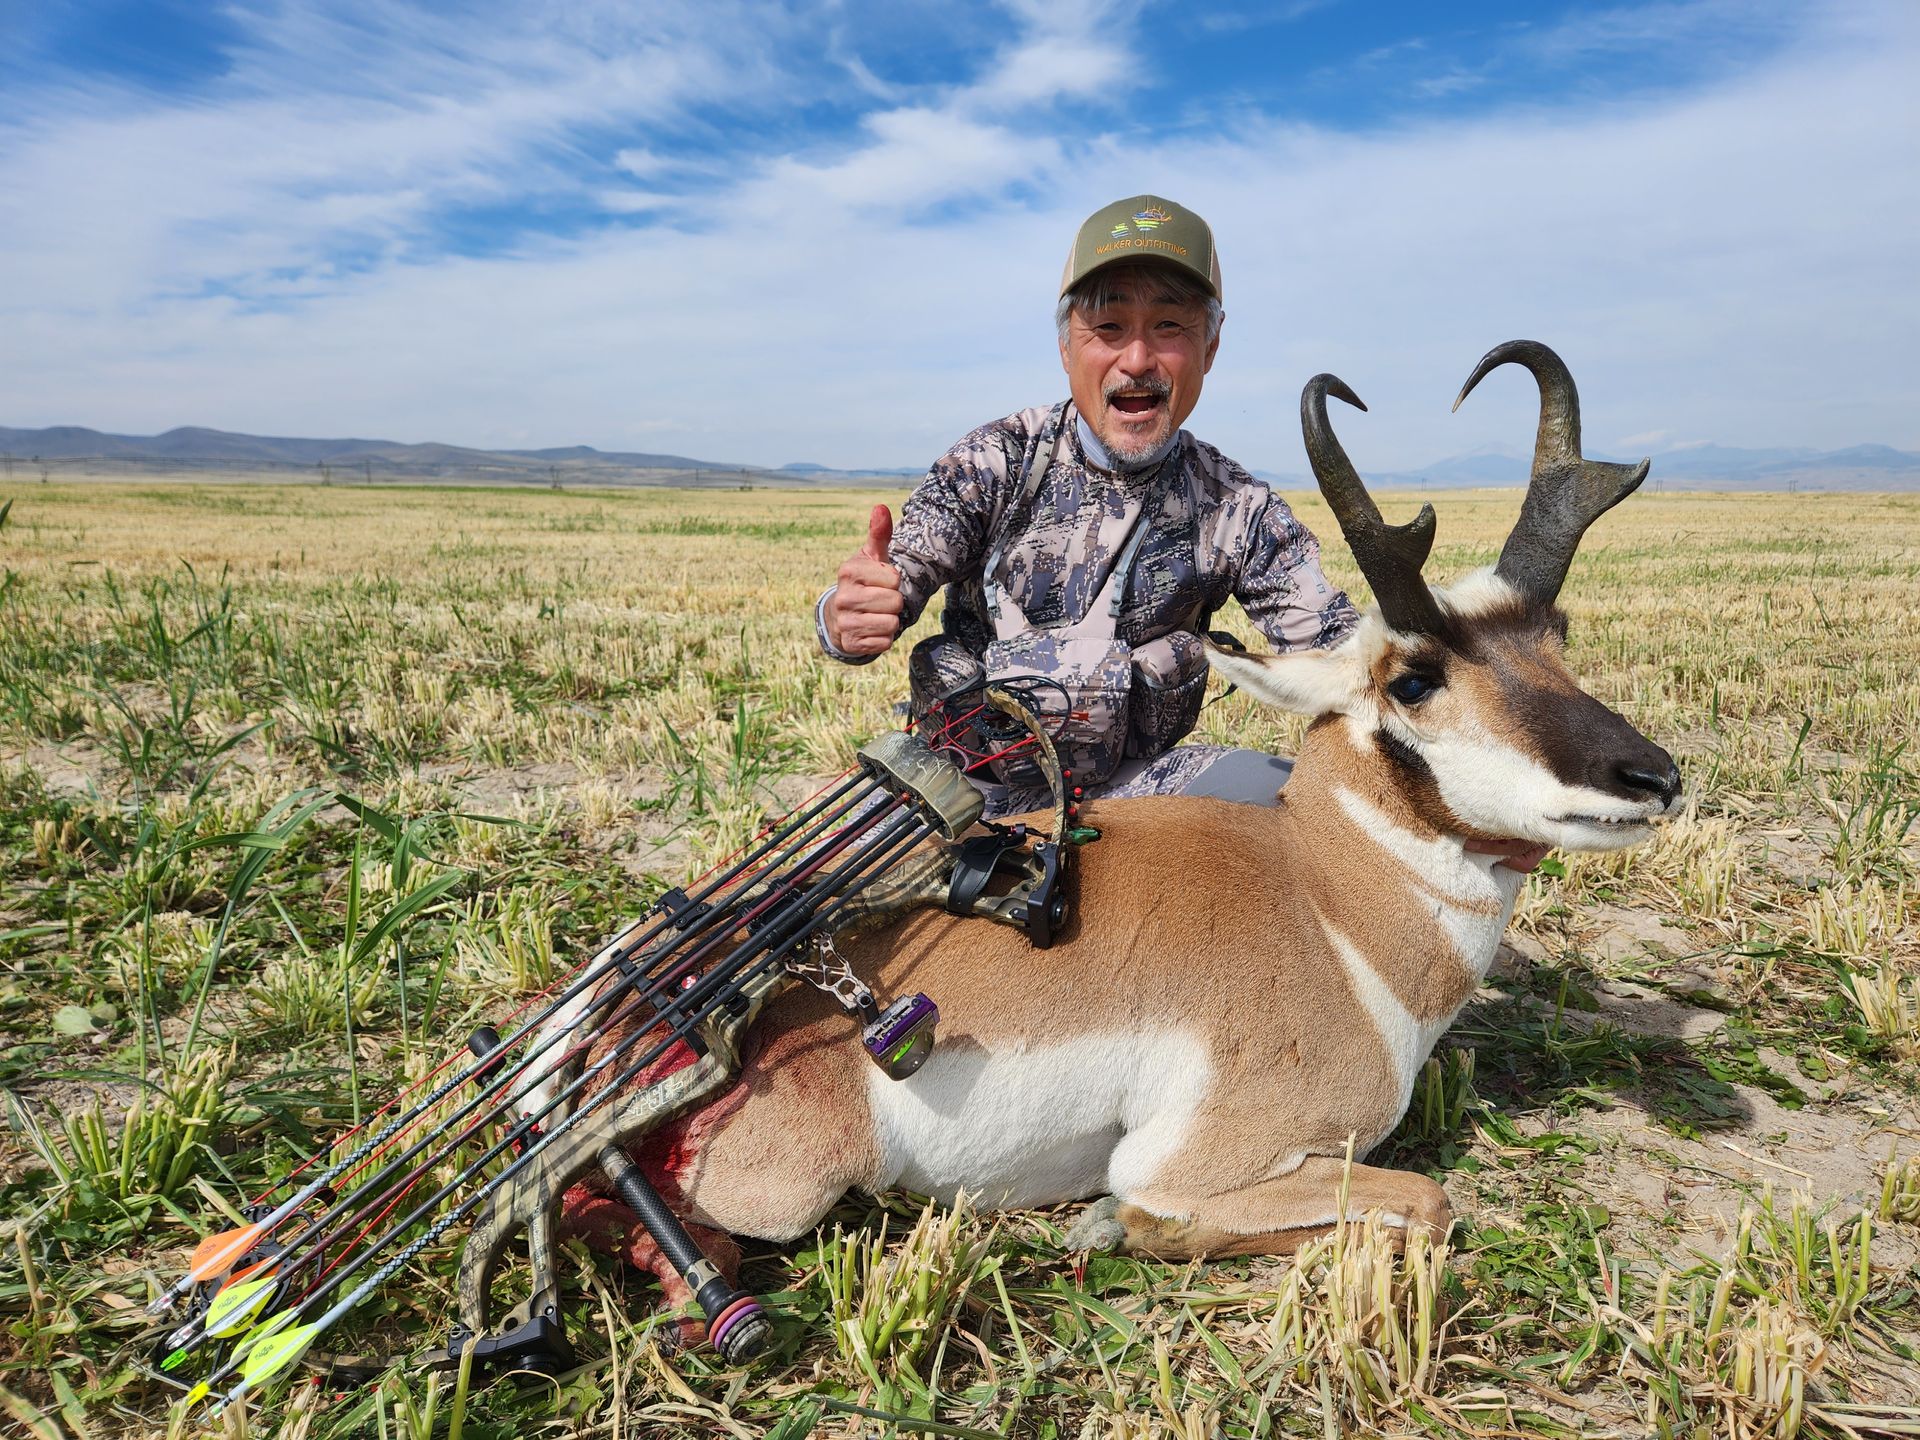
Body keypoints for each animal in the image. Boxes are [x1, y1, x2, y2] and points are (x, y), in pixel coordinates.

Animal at [560, 340, 1682, 1300]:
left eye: (1558, 634)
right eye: (1413, 678)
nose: (1655, 777)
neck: (1327, 901)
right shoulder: (1201, 1160)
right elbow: (1427, 1200)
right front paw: (1109, 1224)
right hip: (783, 1192)